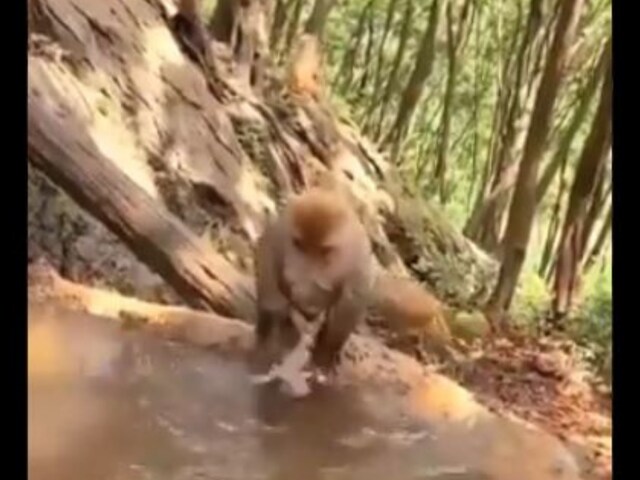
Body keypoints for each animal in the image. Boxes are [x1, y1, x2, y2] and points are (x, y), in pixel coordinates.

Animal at [252, 187, 374, 380]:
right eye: (298, 244)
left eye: (326, 249)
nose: (307, 306)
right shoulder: (279, 235)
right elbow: (268, 267)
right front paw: (269, 334)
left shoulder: (358, 262)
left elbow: (348, 308)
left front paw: (325, 355)